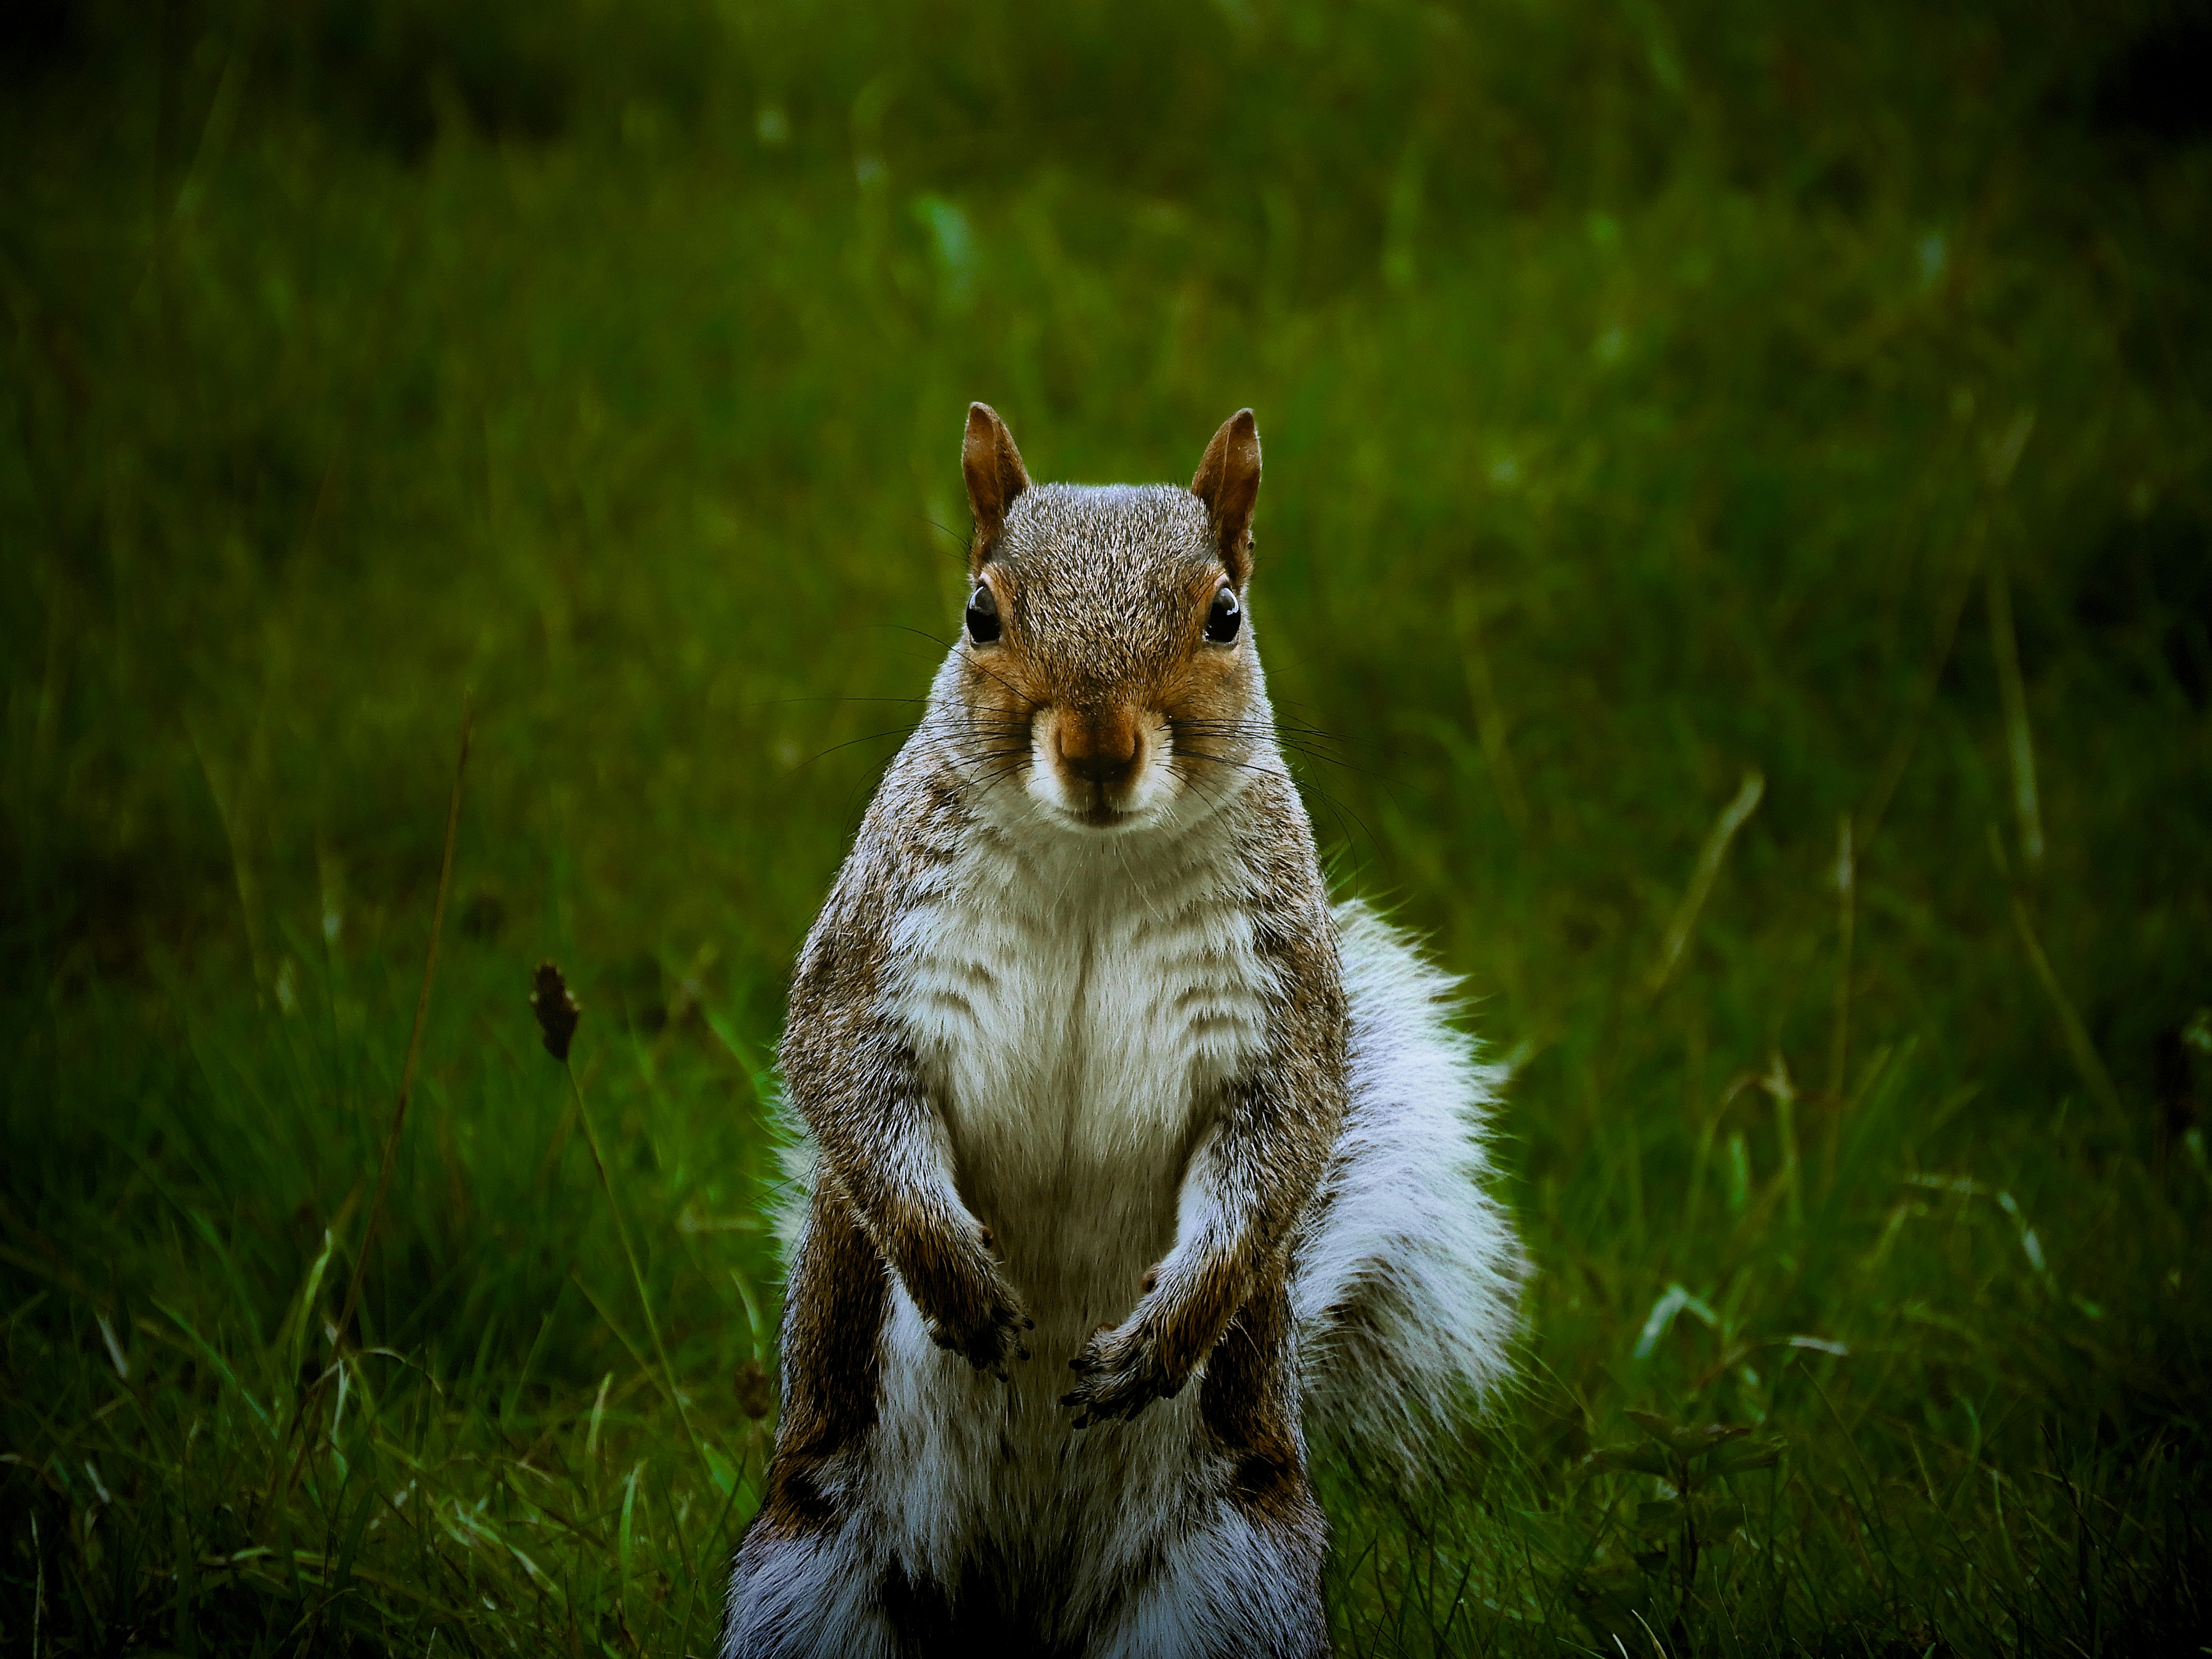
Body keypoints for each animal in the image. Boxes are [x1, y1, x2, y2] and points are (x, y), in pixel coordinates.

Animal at [723, 406, 1525, 1659]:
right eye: (981, 613)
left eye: (1226, 615)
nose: (1098, 748)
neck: (1094, 859)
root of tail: (1018, 1619)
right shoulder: (872, 958)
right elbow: (845, 1079)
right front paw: (956, 1277)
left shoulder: (1279, 1013)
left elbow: (1278, 1152)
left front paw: (1167, 1329)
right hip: (810, 1576)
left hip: (1230, 1584)